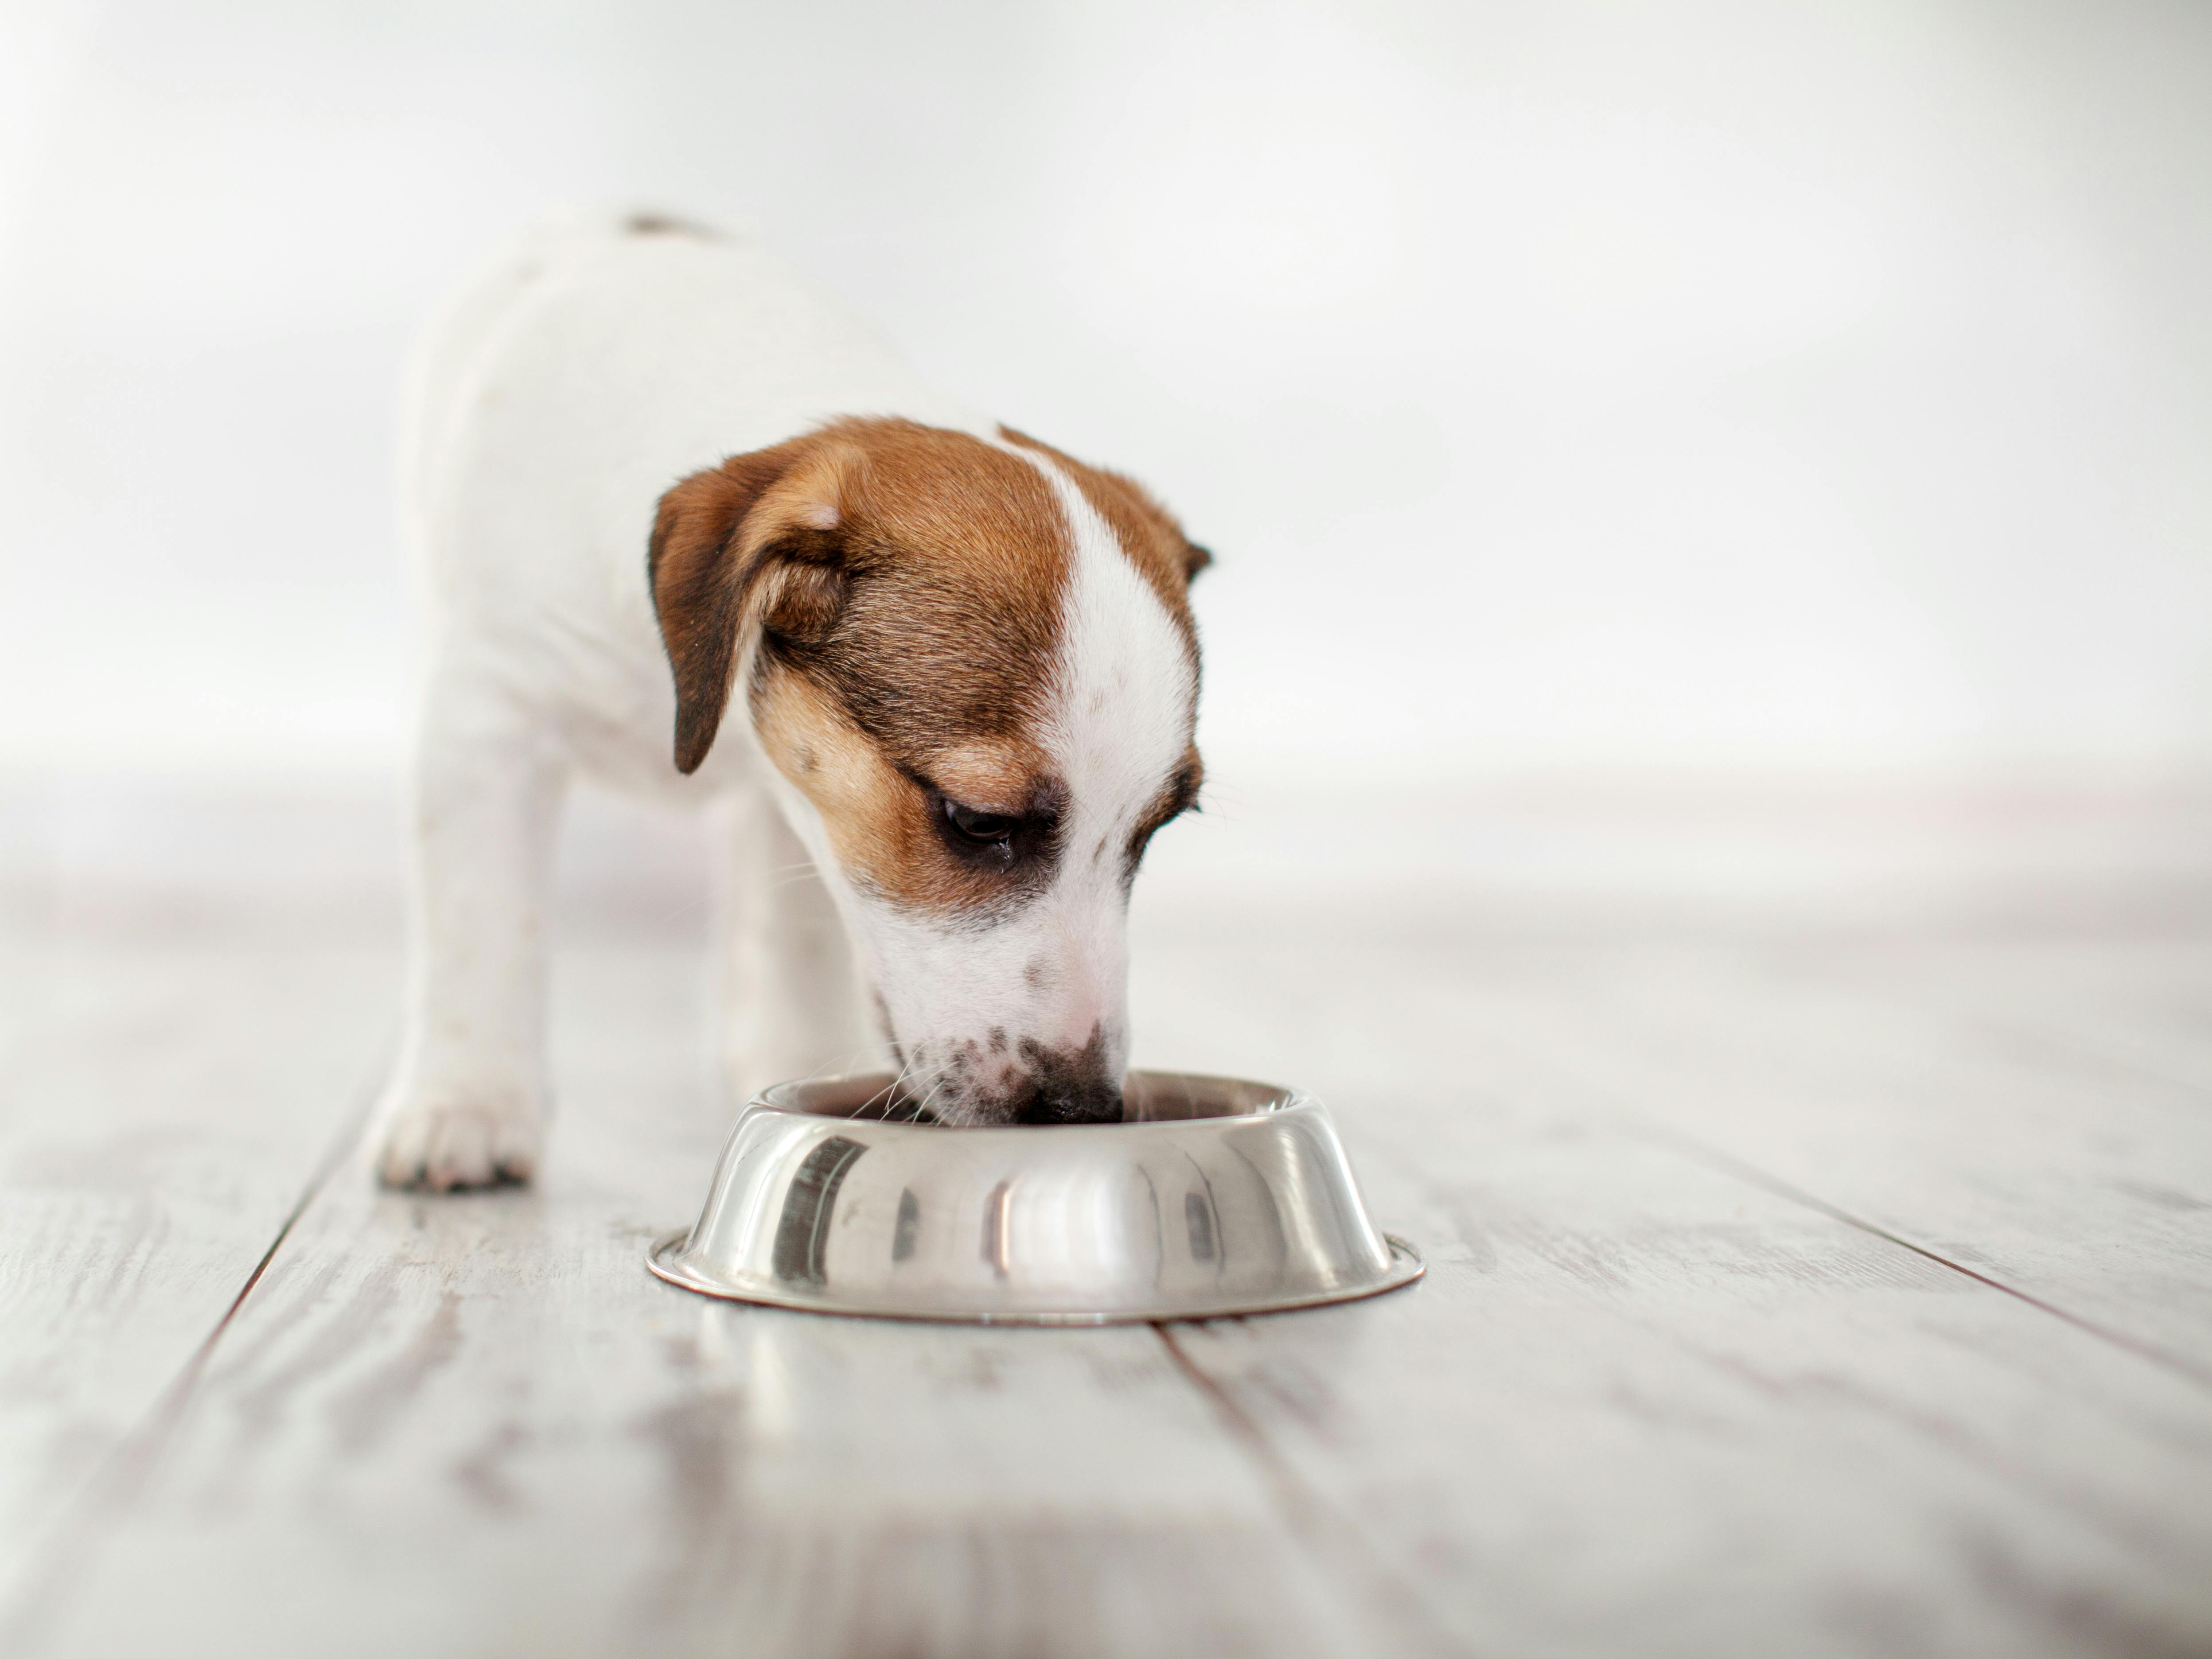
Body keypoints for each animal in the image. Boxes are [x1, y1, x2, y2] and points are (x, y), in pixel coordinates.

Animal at [380, 214, 1212, 1185]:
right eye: (975, 820)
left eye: (1158, 827)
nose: (1081, 1109)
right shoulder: (489, 724)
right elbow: (481, 925)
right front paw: (466, 1100)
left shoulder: (802, 795)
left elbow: (803, 933)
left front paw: (799, 1061)